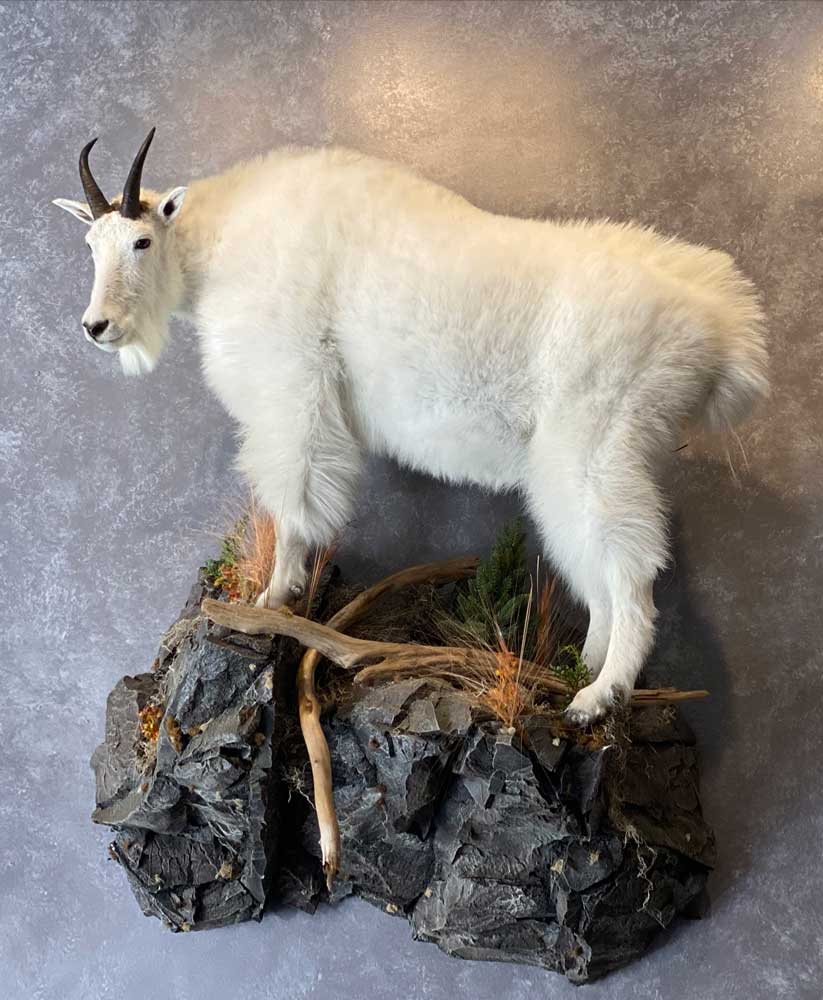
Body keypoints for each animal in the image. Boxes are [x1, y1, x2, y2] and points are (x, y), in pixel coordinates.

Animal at [53, 129, 768, 724]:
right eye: (89, 246)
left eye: (141, 241)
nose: (97, 327)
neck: (221, 243)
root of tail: (724, 331)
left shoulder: (293, 391)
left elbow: (294, 500)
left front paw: (272, 600)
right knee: (596, 568)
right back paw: (577, 670)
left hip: (595, 447)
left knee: (631, 571)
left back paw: (599, 697)